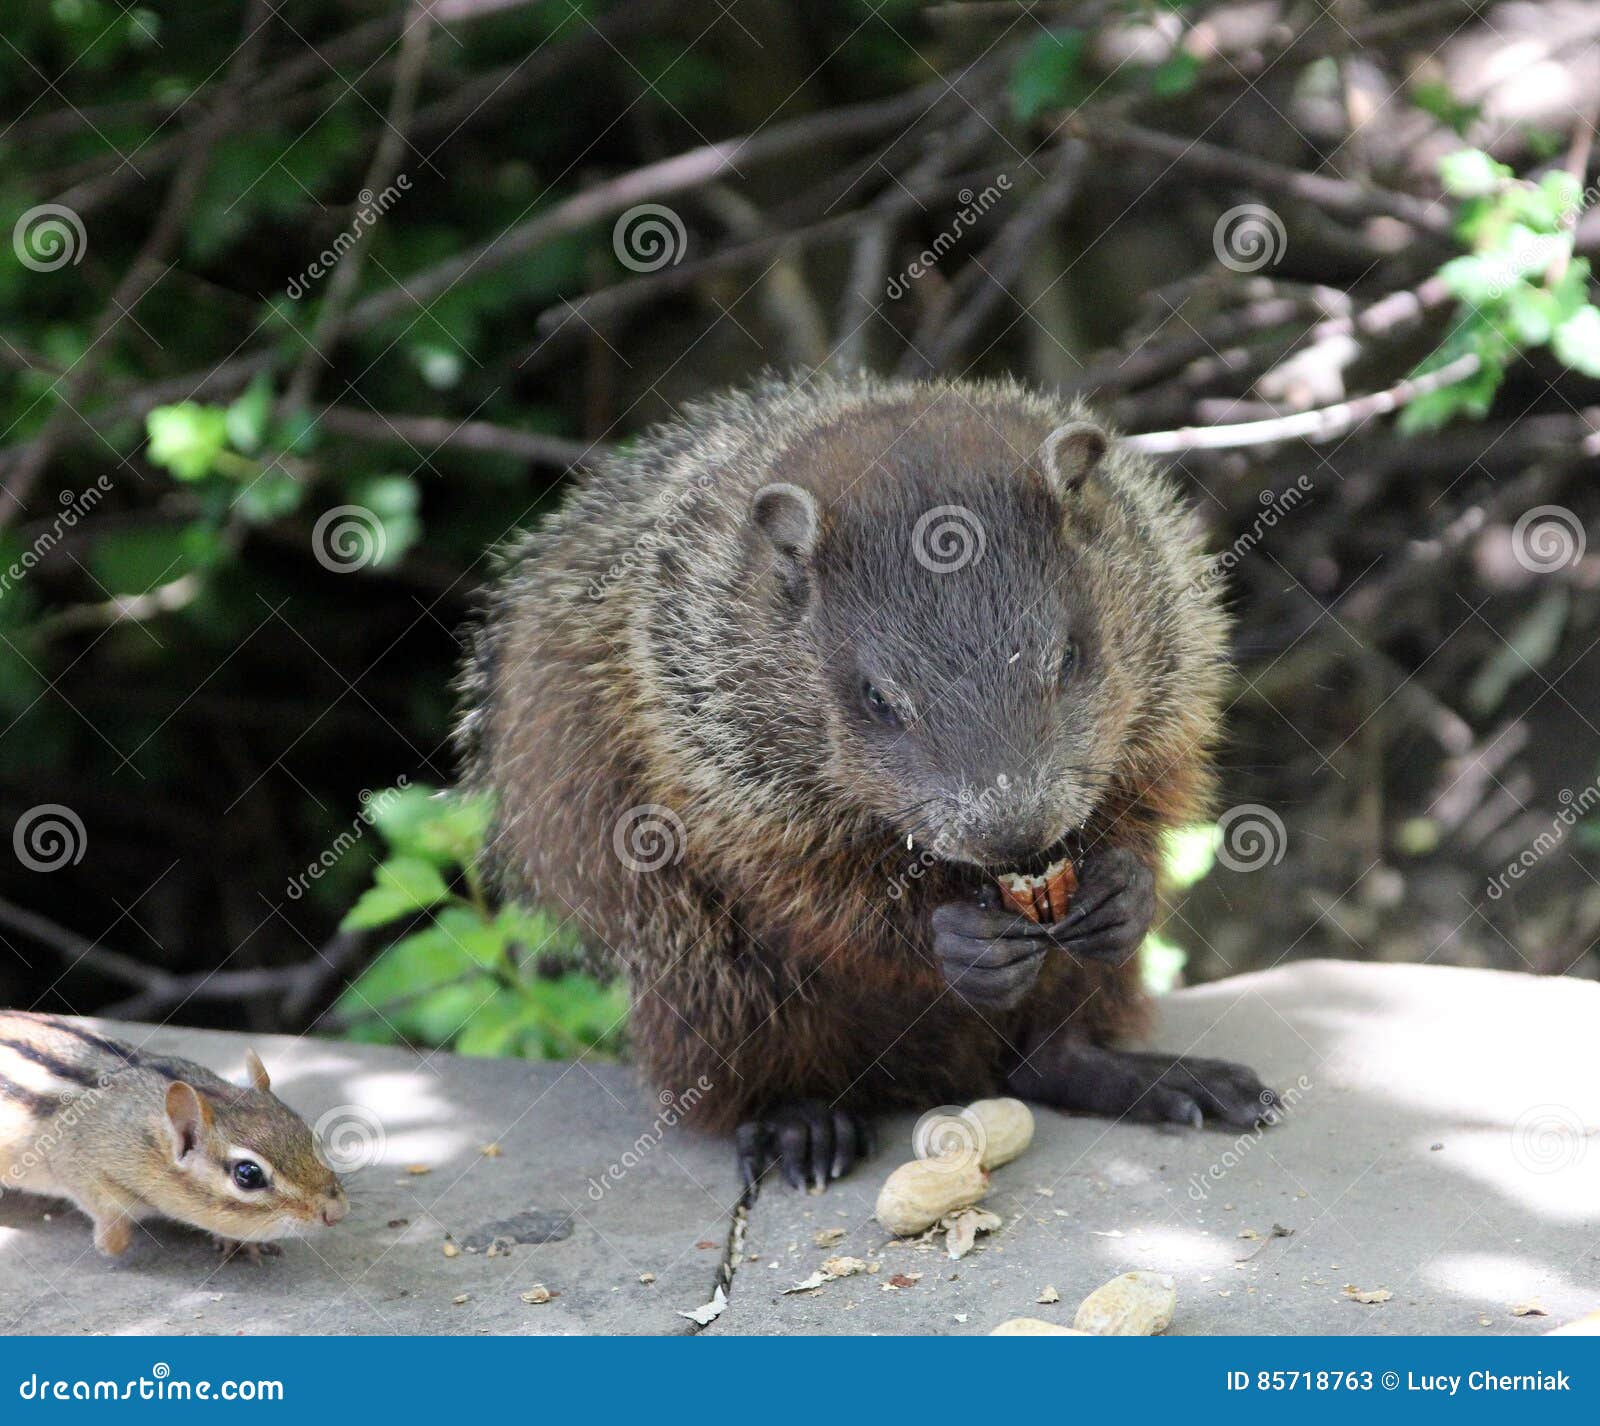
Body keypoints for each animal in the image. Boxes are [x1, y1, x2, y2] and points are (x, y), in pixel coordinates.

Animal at [0, 1011, 347, 1259]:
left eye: (310, 1137)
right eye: (248, 1175)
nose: (337, 1213)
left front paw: (240, 1242)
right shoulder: (79, 1167)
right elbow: (113, 1233)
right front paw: (109, 1242)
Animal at [459, 373, 1275, 1190]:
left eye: (1069, 654)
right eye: (878, 697)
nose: (1013, 833)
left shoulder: (1174, 637)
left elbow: (1157, 777)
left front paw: (1121, 888)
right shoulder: (701, 725)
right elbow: (800, 882)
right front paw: (952, 936)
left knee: (1049, 1050)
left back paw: (1148, 1074)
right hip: (688, 957)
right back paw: (800, 1120)